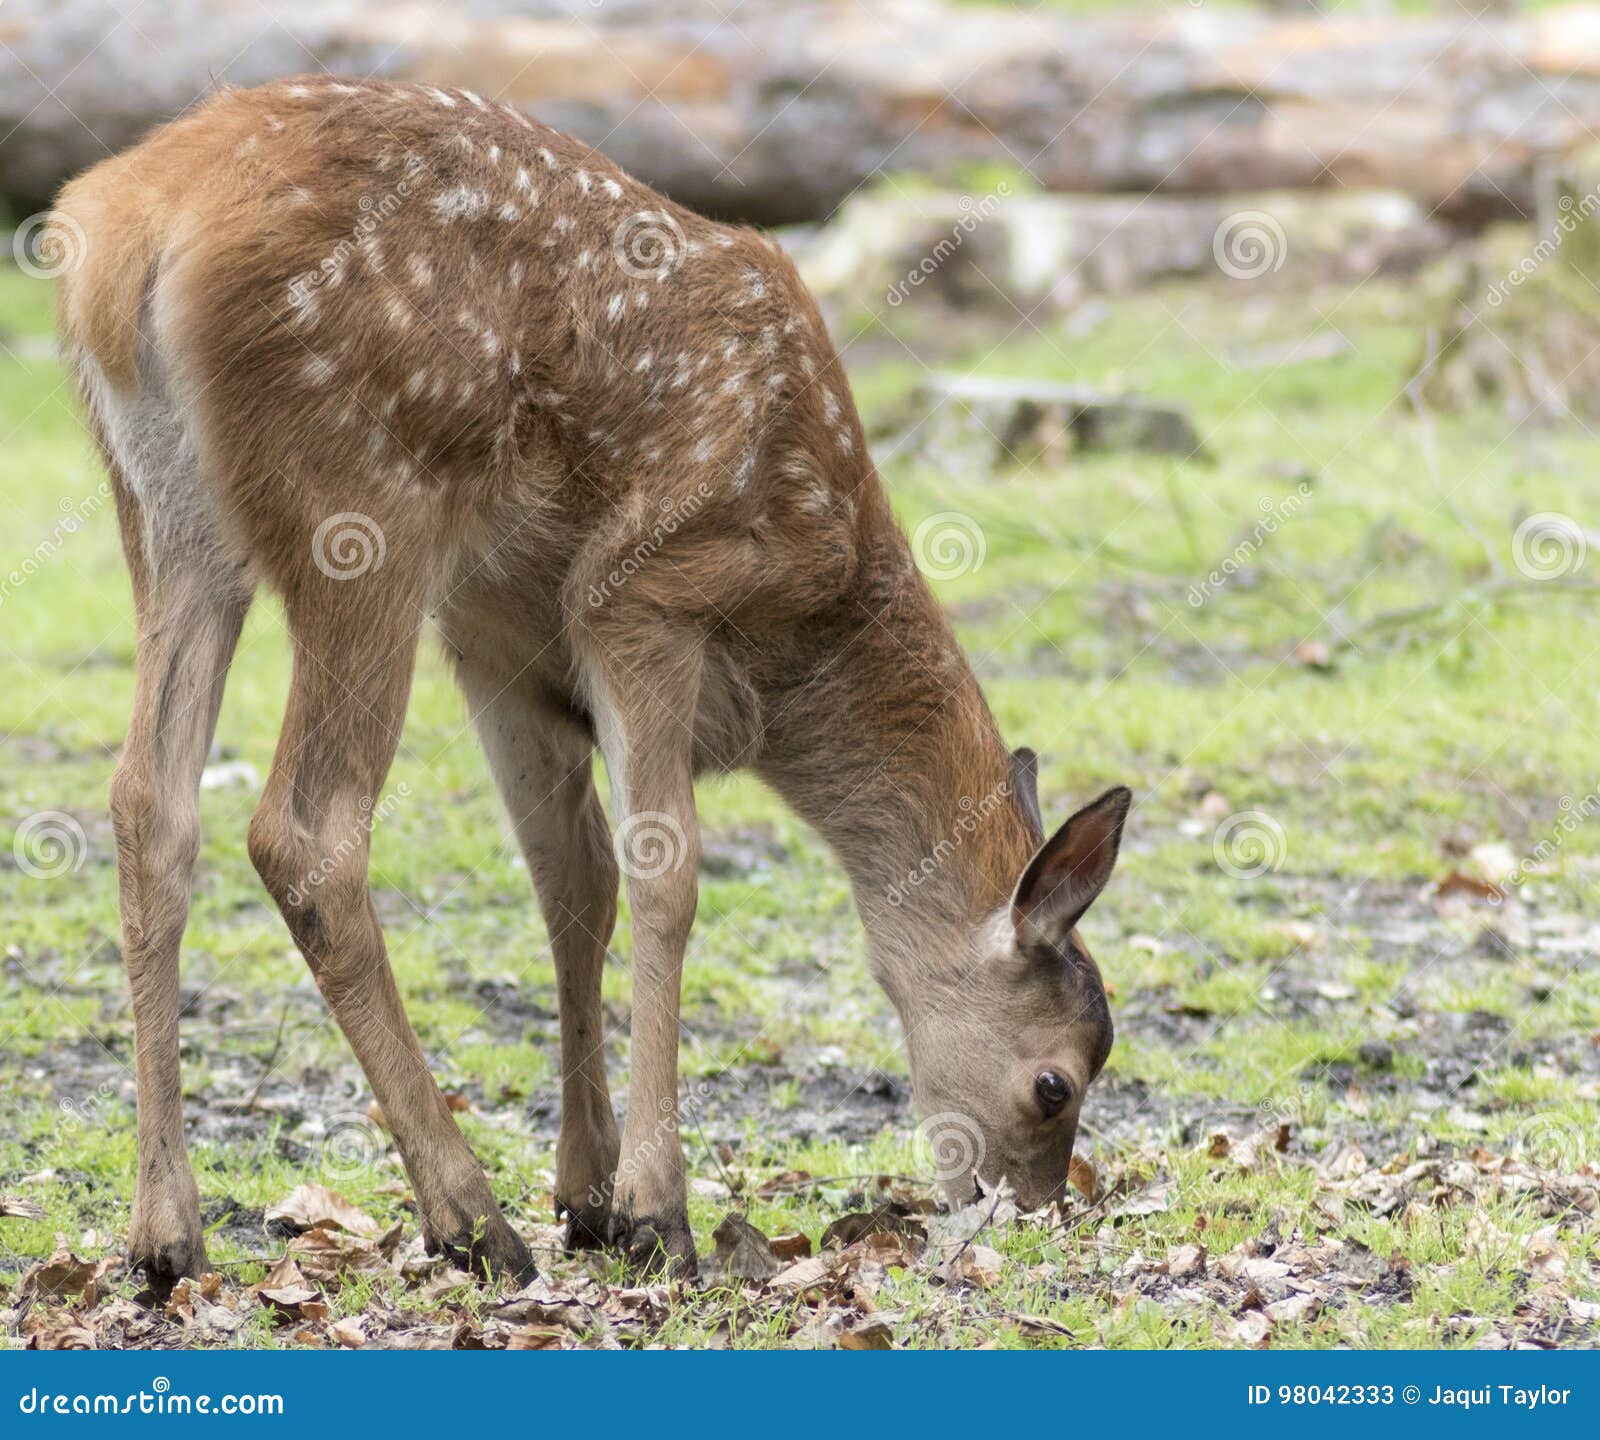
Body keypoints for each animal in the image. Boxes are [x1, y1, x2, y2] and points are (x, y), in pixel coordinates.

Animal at [52, 75, 1131, 1287]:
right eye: (1055, 1083)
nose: (1024, 1213)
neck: (804, 631)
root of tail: (130, 236)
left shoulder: (499, 639)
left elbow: (574, 881)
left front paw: (589, 1192)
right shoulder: (646, 593)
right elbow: (666, 873)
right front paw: (659, 1213)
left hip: (168, 516)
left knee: (148, 802)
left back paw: (166, 1234)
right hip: (363, 508)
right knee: (304, 831)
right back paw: (469, 1219)